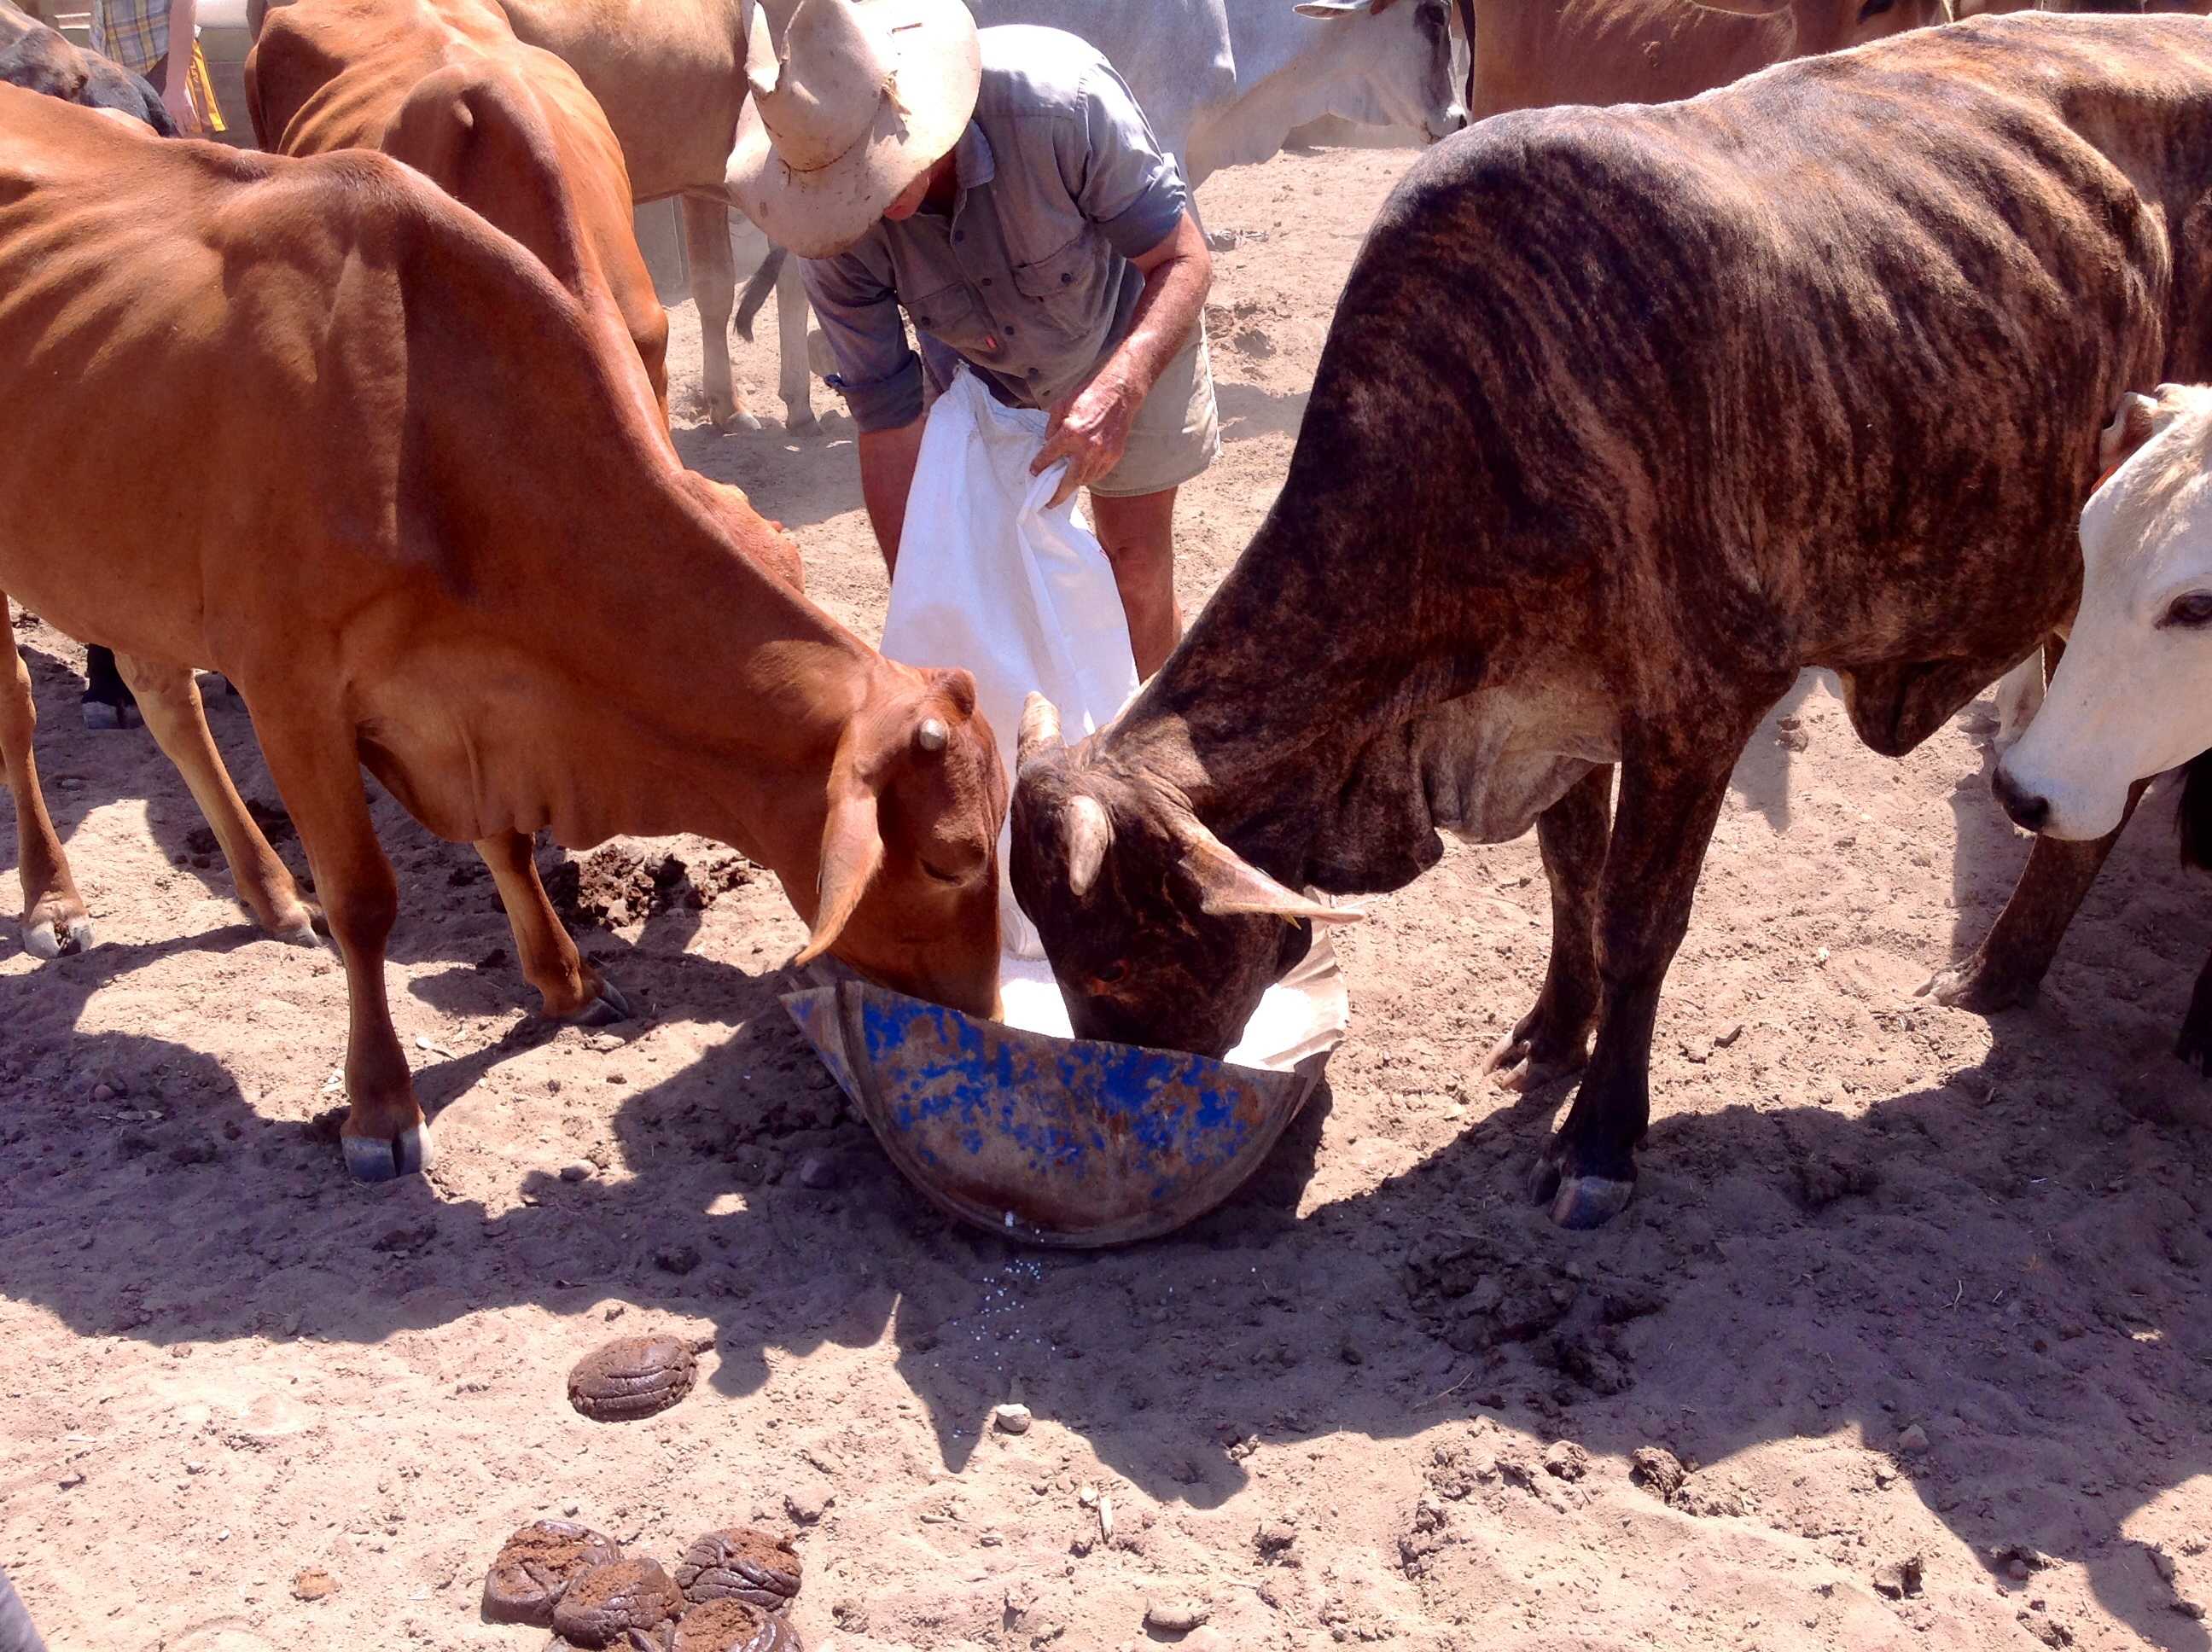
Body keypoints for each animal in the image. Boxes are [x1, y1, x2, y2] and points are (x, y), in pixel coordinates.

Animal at [0, 85, 1003, 1181]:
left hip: (123, 553)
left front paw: (566, 981)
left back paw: (268, 895)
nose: (985, 1016)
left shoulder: (469, 696)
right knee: (22, 715)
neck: (427, 429)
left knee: (162, 690)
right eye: (948, 861)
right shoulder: (290, 686)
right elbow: (365, 898)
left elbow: (508, 839)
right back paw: (56, 901)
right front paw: (380, 1105)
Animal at [1011, 14, 2212, 1230]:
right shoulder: (1558, 708)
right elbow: (1571, 880)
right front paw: (1554, 1030)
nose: (1115, 1102)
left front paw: (1599, 1134)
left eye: (1113, 960)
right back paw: (2000, 972)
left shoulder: (1699, 712)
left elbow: (1640, 920)